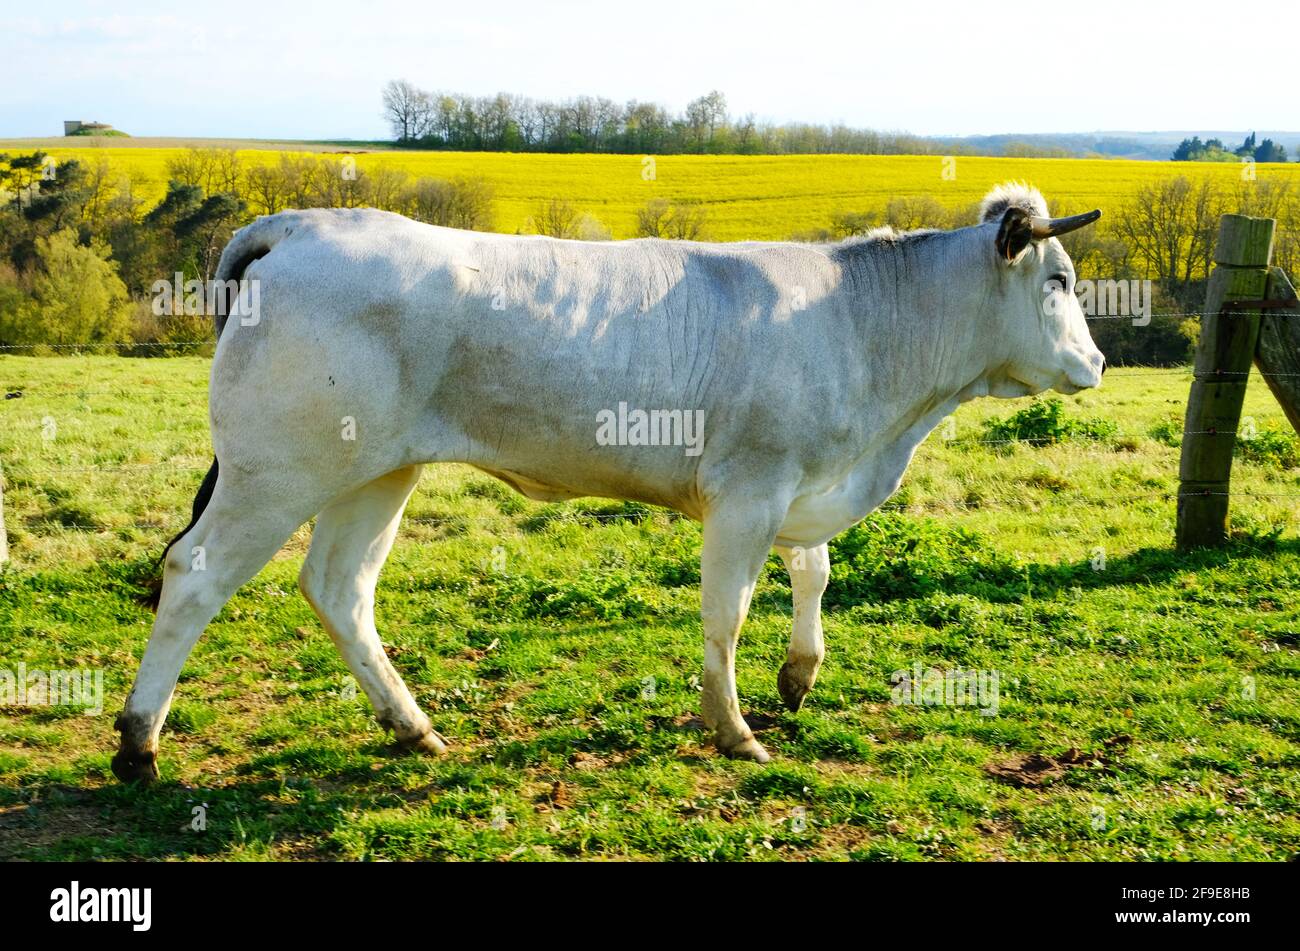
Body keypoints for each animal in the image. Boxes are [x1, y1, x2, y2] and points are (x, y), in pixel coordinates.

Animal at [112, 183, 1105, 783]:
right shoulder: (748, 489)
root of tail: (303, 221)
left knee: (340, 586)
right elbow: (725, 613)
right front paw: (734, 728)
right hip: (278, 468)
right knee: (195, 574)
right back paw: (138, 744)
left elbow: (814, 571)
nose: (1096, 361)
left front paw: (798, 674)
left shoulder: (801, 481)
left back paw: (414, 726)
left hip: (377, 467)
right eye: (1059, 279)